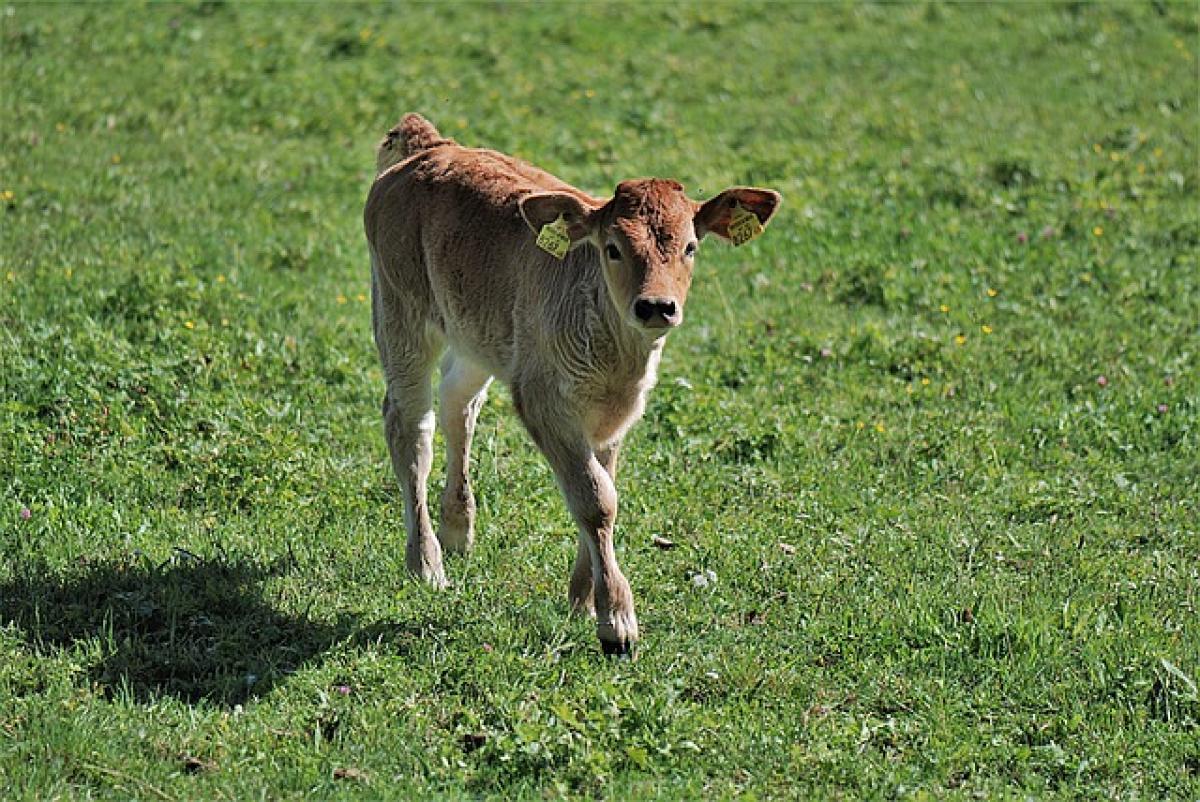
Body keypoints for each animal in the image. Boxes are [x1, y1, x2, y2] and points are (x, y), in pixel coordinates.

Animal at [360, 114, 782, 657]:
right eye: (613, 248)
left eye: (690, 246)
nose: (656, 306)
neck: (616, 359)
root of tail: (432, 146)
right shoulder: (544, 401)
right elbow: (595, 499)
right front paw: (617, 621)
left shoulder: (614, 417)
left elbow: (603, 487)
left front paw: (582, 598)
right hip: (401, 315)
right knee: (411, 429)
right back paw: (427, 563)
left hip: (477, 337)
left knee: (459, 404)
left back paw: (458, 530)